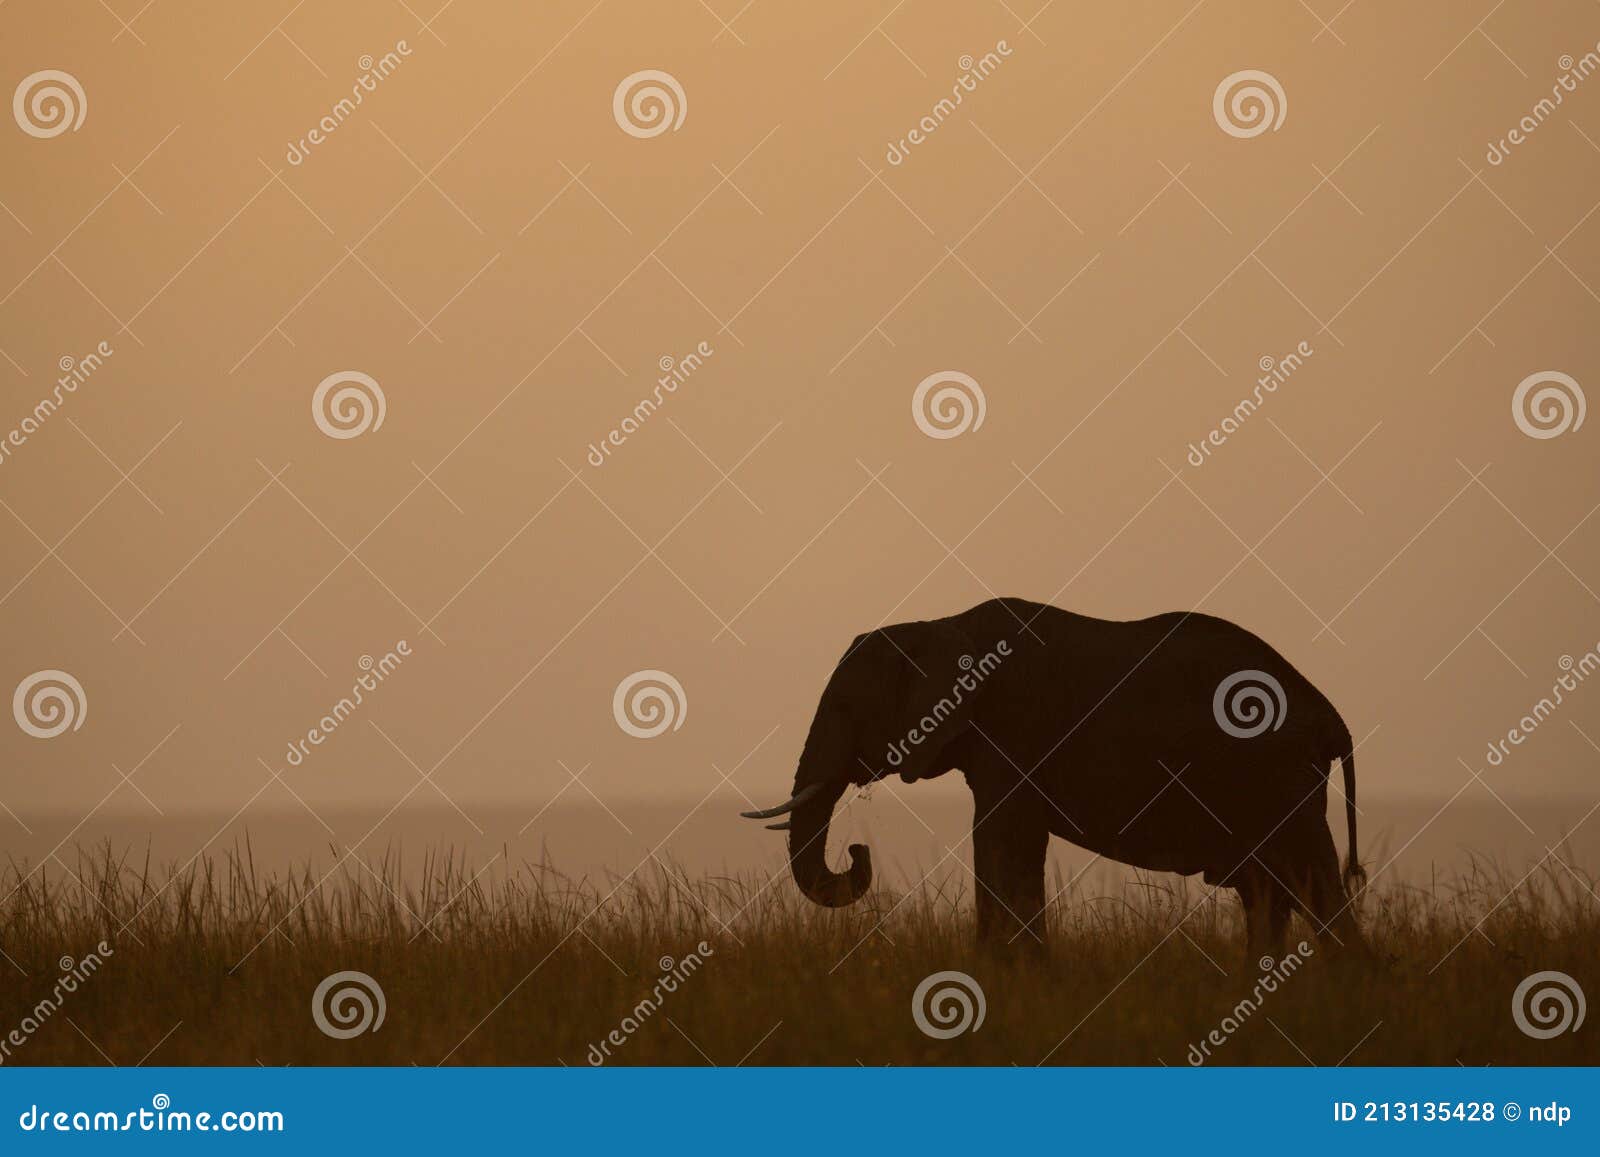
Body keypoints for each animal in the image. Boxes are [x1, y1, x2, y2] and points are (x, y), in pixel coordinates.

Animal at [742, 597, 1367, 959]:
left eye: (846, 708)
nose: (857, 850)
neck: (940, 625)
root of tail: (1333, 718)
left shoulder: (1014, 729)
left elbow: (1000, 835)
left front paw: (1000, 973)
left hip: (1279, 774)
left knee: (1308, 877)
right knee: (1267, 889)